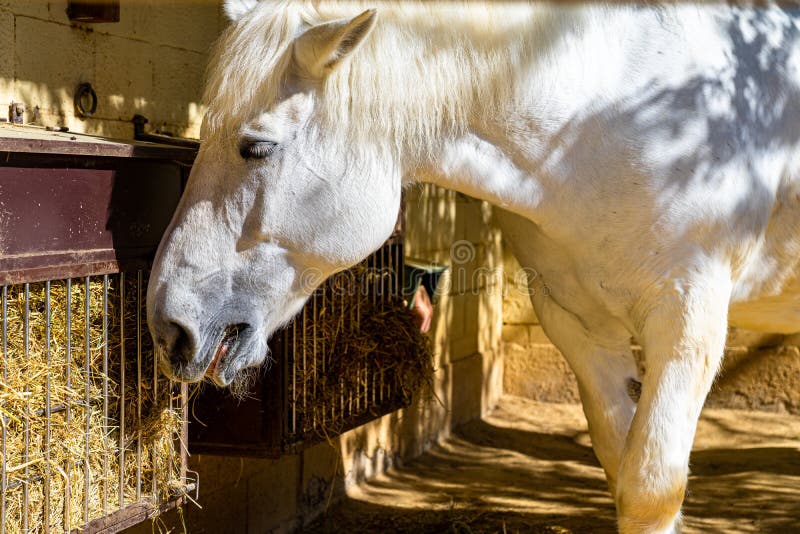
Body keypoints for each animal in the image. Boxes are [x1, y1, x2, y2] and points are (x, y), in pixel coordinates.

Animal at [146, 2, 800, 532]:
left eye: (257, 147)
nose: (169, 326)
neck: (617, 113)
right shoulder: (579, 323)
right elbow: (619, 466)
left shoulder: (686, 324)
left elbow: (650, 488)